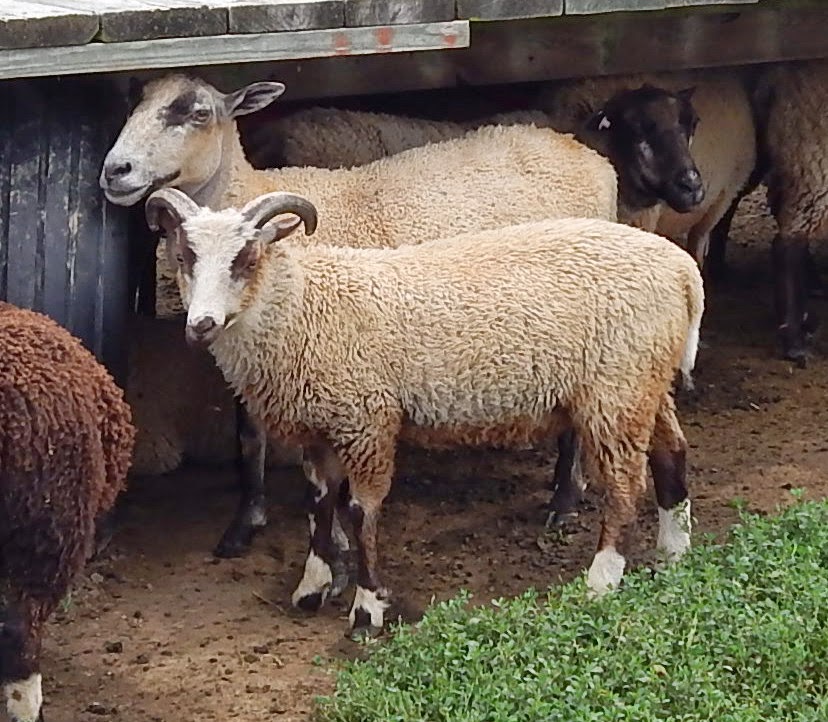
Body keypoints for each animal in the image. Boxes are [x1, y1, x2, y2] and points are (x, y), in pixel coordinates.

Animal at [100, 73, 617, 559]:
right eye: (134, 104)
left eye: (199, 113)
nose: (114, 171)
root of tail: (588, 157)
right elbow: (249, 436)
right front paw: (245, 524)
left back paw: (563, 500)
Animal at [144, 188, 704, 639]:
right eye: (184, 255)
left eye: (247, 257)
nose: (201, 325)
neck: (304, 307)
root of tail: (683, 271)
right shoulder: (321, 426)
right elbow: (318, 504)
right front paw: (312, 587)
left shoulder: (367, 419)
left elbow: (360, 512)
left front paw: (367, 610)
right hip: (643, 380)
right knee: (672, 452)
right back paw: (676, 550)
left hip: (616, 386)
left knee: (625, 483)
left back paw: (602, 577)